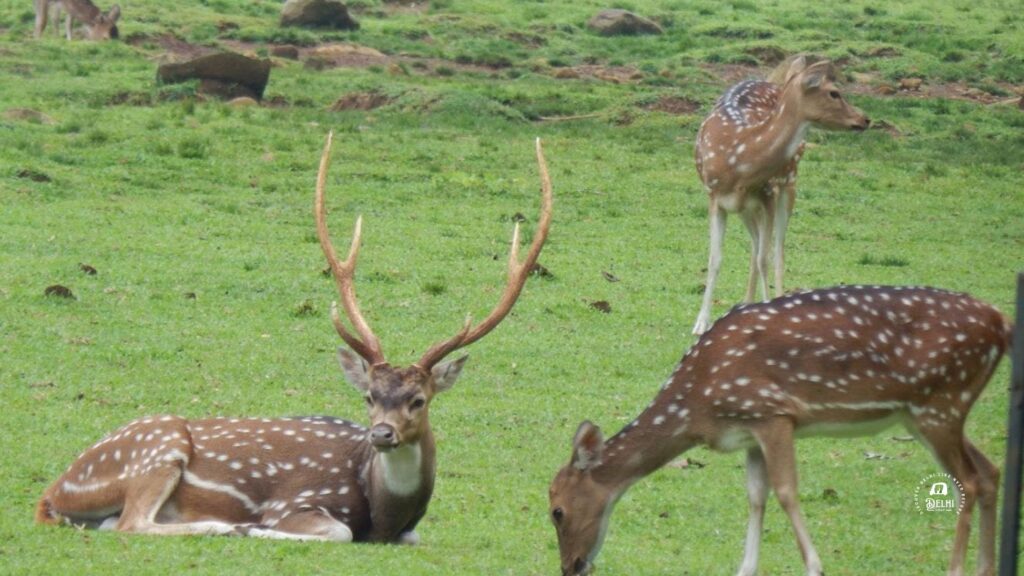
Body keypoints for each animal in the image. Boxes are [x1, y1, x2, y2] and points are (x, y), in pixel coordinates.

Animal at [35, 132, 553, 543]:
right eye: (369, 396)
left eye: (419, 399)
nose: (381, 433)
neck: (384, 514)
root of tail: (54, 490)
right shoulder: (298, 501)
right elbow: (337, 532)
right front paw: (258, 528)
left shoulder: (408, 532)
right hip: (158, 449)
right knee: (130, 522)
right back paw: (226, 527)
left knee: (112, 523)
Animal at [549, 285, 1012, 576]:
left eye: (556, 511)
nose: (570, 566)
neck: (700, 405)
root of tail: (1003, 323)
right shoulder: (750, 431)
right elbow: (756, 496)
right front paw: (745, 568)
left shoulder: (773, 412)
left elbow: (787, 491)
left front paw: (815, 567)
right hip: (928, 413)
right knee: (989, 471)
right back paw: (987, 568)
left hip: (940, 403)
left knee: (969, 481)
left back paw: (956, 569)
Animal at [691, 57, 870, 335]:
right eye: (834, 93)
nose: (865, 119)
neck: (738, 160)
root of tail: (773, 81)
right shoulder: (714, 196)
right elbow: (715, 258)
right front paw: (701, 323)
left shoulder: (768, 193)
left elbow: (766, 258)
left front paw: (768, 310)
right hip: (746, 207)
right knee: (755, 245)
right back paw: (745, 303)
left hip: (789, 182)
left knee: (776, 250)